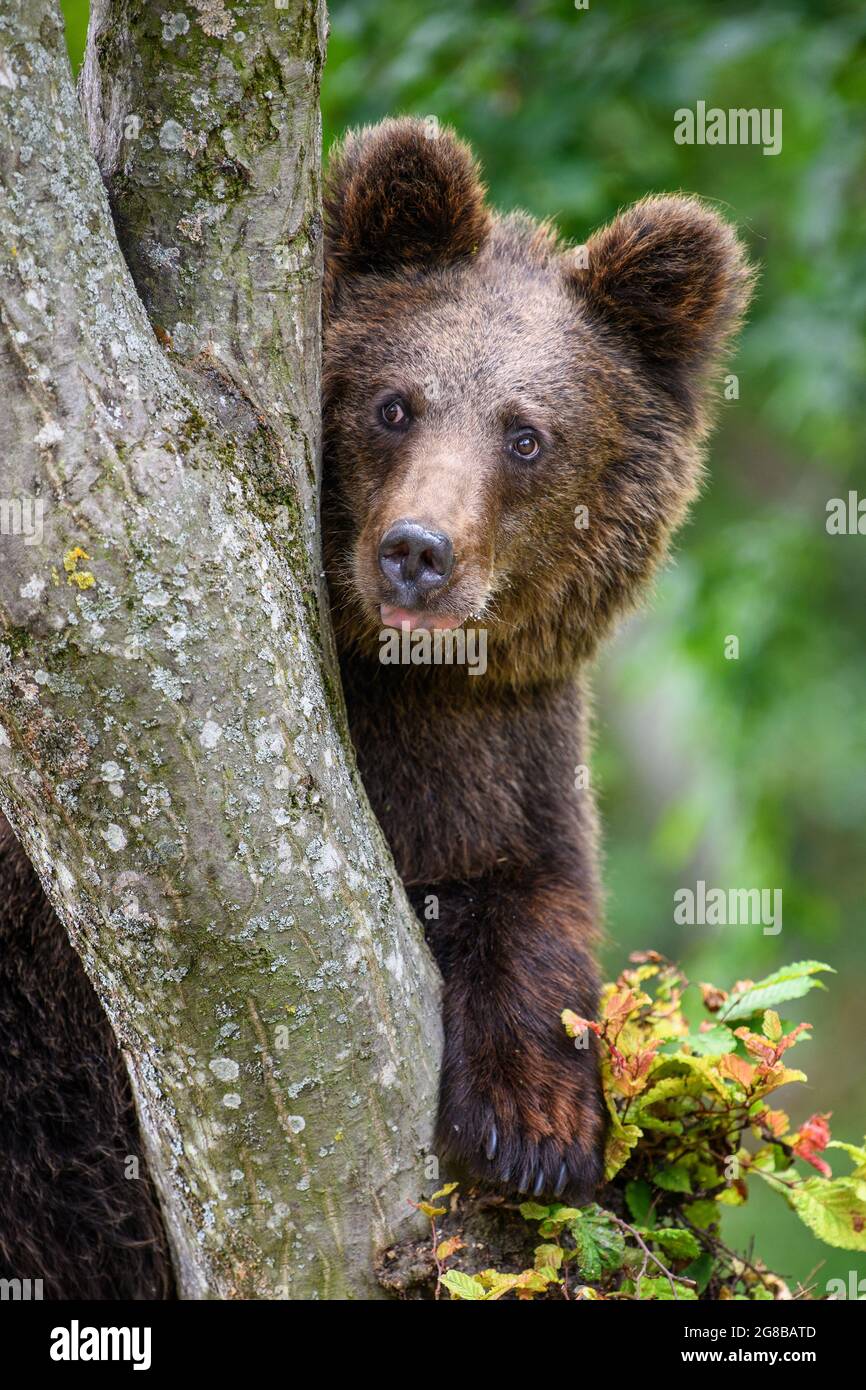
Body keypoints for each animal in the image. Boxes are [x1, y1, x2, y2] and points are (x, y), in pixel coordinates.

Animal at [0, 116, 752, 1295]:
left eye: (526, 433)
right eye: (394, 402)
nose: (417, 551)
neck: (390, 671)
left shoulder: (496, 743)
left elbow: (533, 892)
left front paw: (532, 1127)